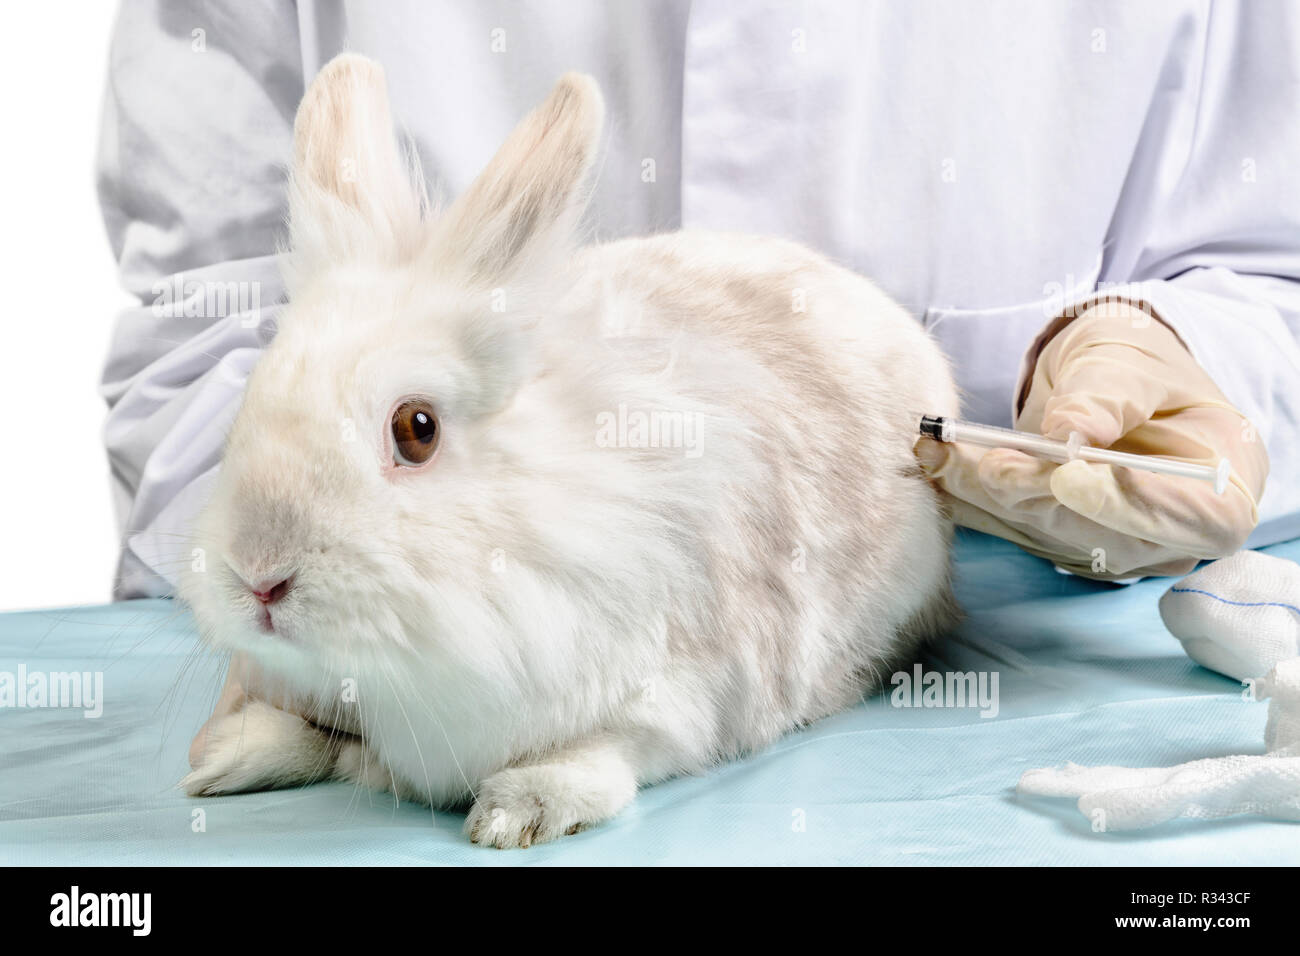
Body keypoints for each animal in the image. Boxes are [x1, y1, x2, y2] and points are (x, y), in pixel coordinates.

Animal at [179, 53, 960, 848]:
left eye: (416, 428)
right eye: (251, 397)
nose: (259, 578)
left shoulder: (684, 693)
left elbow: (612, 750)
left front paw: (517, 811)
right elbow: (322, 735)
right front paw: (224, 759)